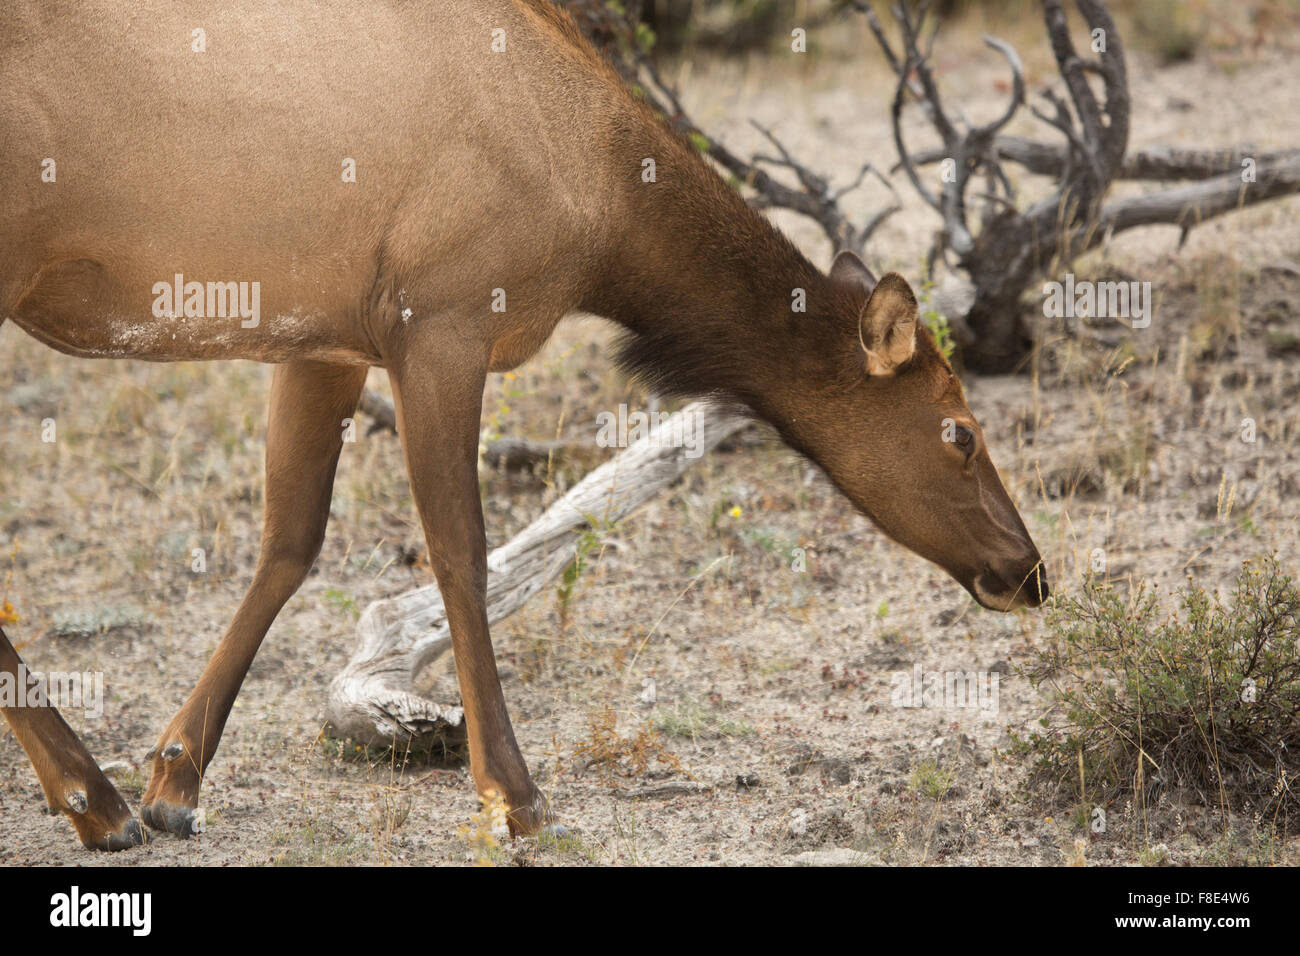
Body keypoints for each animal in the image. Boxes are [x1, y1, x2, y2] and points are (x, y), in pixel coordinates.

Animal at [0, 0, 1048, 851]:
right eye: (960, 431)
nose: (1029, 571)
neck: (606, 213)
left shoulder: (327, 340)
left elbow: (288, 545)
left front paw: (176, 778)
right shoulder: (443, 323)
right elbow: (461, 557)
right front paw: (516, 795)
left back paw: (99, 796)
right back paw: (90, 797)